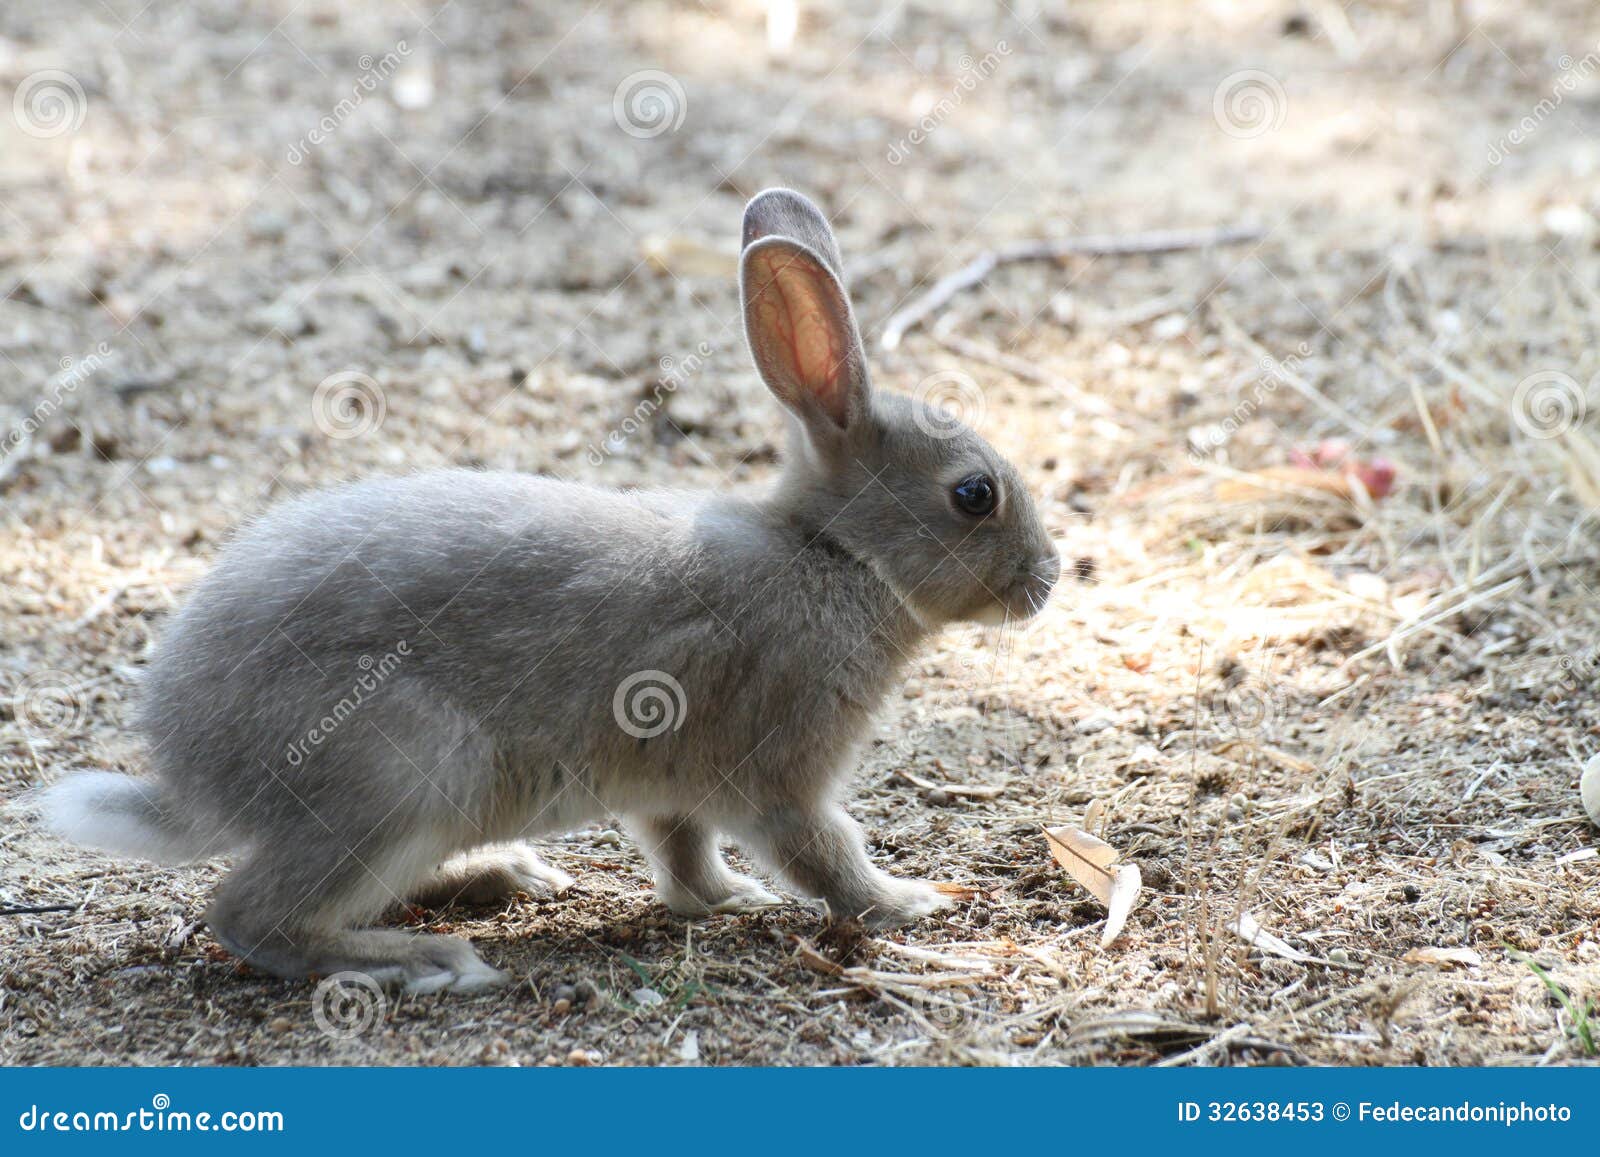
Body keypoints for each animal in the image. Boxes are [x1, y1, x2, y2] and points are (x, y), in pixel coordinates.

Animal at [39, 188, 1060, 993]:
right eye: (975, 494)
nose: (1048, 580)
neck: (835, 551)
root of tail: (194, 777)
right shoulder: (783, 768)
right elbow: (823, 851)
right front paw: (909, 901)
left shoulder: (673, 779)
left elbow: (682, 848)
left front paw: (724, 900)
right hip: (401, 768)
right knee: (251, 915)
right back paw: (428, 960)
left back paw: (507, 879)